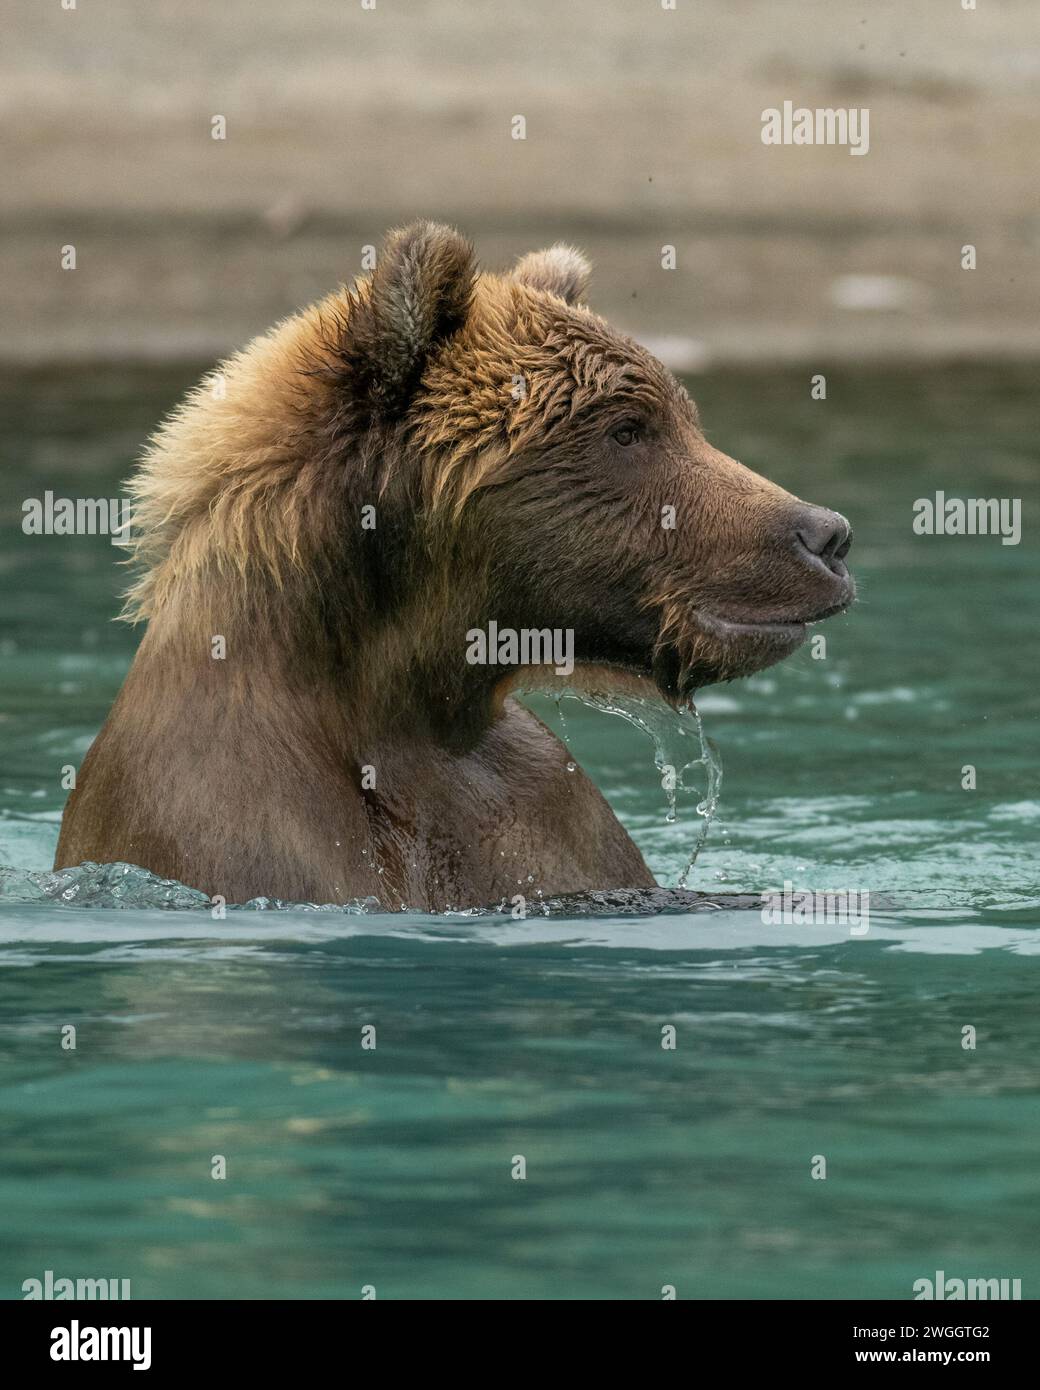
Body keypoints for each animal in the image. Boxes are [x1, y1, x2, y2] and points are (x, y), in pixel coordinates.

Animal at [54, 221, 854, 910]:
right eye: (629, 431)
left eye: (684, 418)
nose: (826, 535)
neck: (405, 713)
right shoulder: (232, 828)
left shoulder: (534, 817)